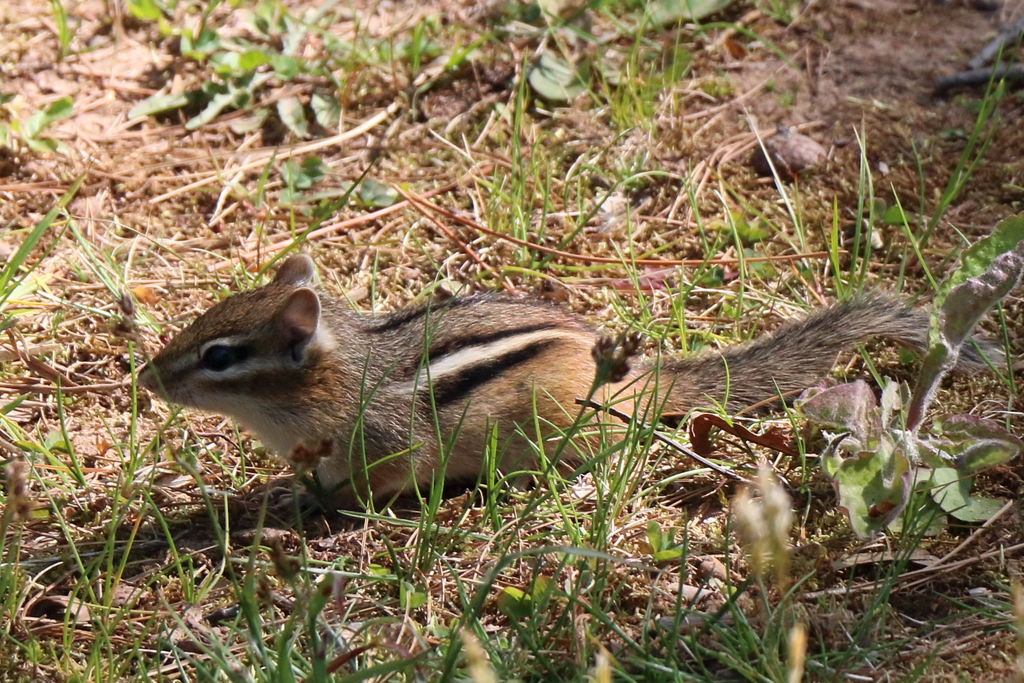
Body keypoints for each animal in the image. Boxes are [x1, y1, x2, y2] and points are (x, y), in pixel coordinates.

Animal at [138, 254, 993, 508]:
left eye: (220, 356)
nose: (147, 375)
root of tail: (642, 383)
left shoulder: (382, 443)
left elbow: (373, 482)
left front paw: (315, 505)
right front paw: (292, 489)